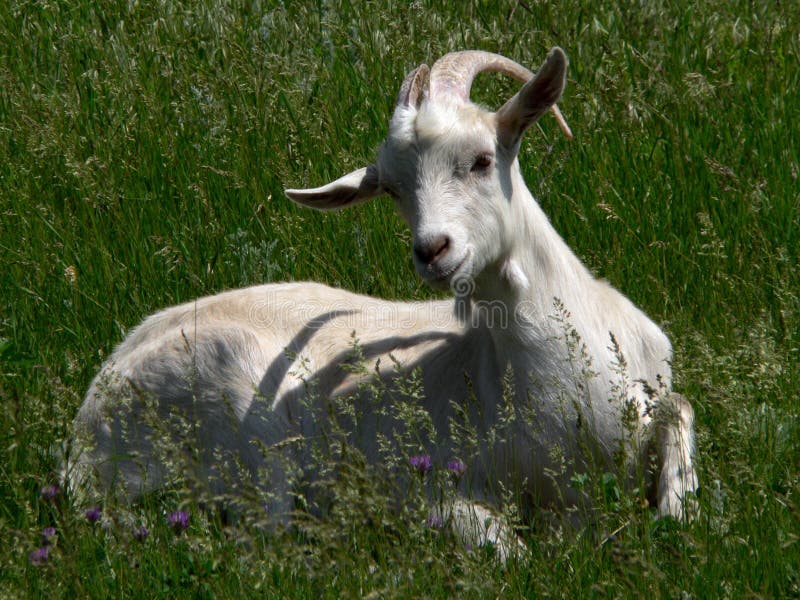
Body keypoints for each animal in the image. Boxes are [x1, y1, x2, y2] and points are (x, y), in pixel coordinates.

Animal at [68, 48, 698, 557]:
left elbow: (679, 434)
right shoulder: (440, 481)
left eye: (482, 159)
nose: (433, 250)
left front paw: (673, 505)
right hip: (245, 421)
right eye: (393, 189)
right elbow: (503, 545)